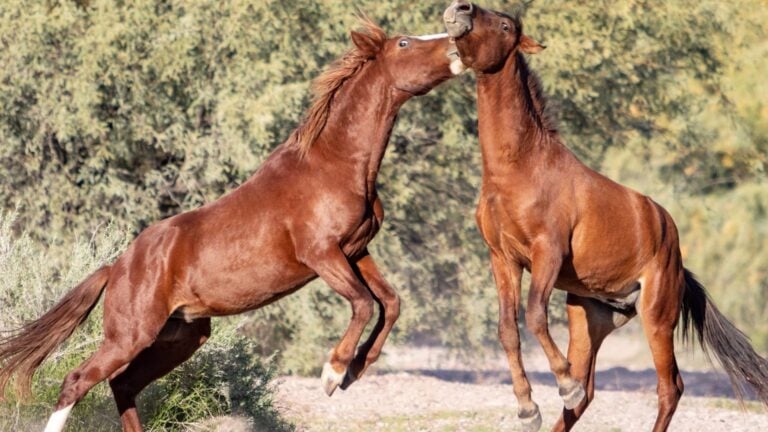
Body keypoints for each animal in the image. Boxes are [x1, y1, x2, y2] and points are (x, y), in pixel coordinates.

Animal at [0, 17, 466, 432]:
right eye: (404, 43)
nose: (456, 44)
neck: (333, 164)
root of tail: (116, 267)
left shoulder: (356, 251)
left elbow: (390, 302)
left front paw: (355, 371)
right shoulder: (322, 255)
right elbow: (365, 303)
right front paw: (333, 374)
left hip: (182, 336)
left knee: (124, 384)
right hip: (130, 334)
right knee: (78, 381)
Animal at [444, 2, 768, 431]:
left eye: (505, 25)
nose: (458, 9)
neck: (519, 168)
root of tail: (674, 249)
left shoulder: (546, 254)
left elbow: (534, 316)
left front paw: (560, 387)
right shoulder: (503, 259)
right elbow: (507, 330)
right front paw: (528, 409)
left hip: (656, 315)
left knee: (670, 387)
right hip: (591, 319)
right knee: (588, 392)